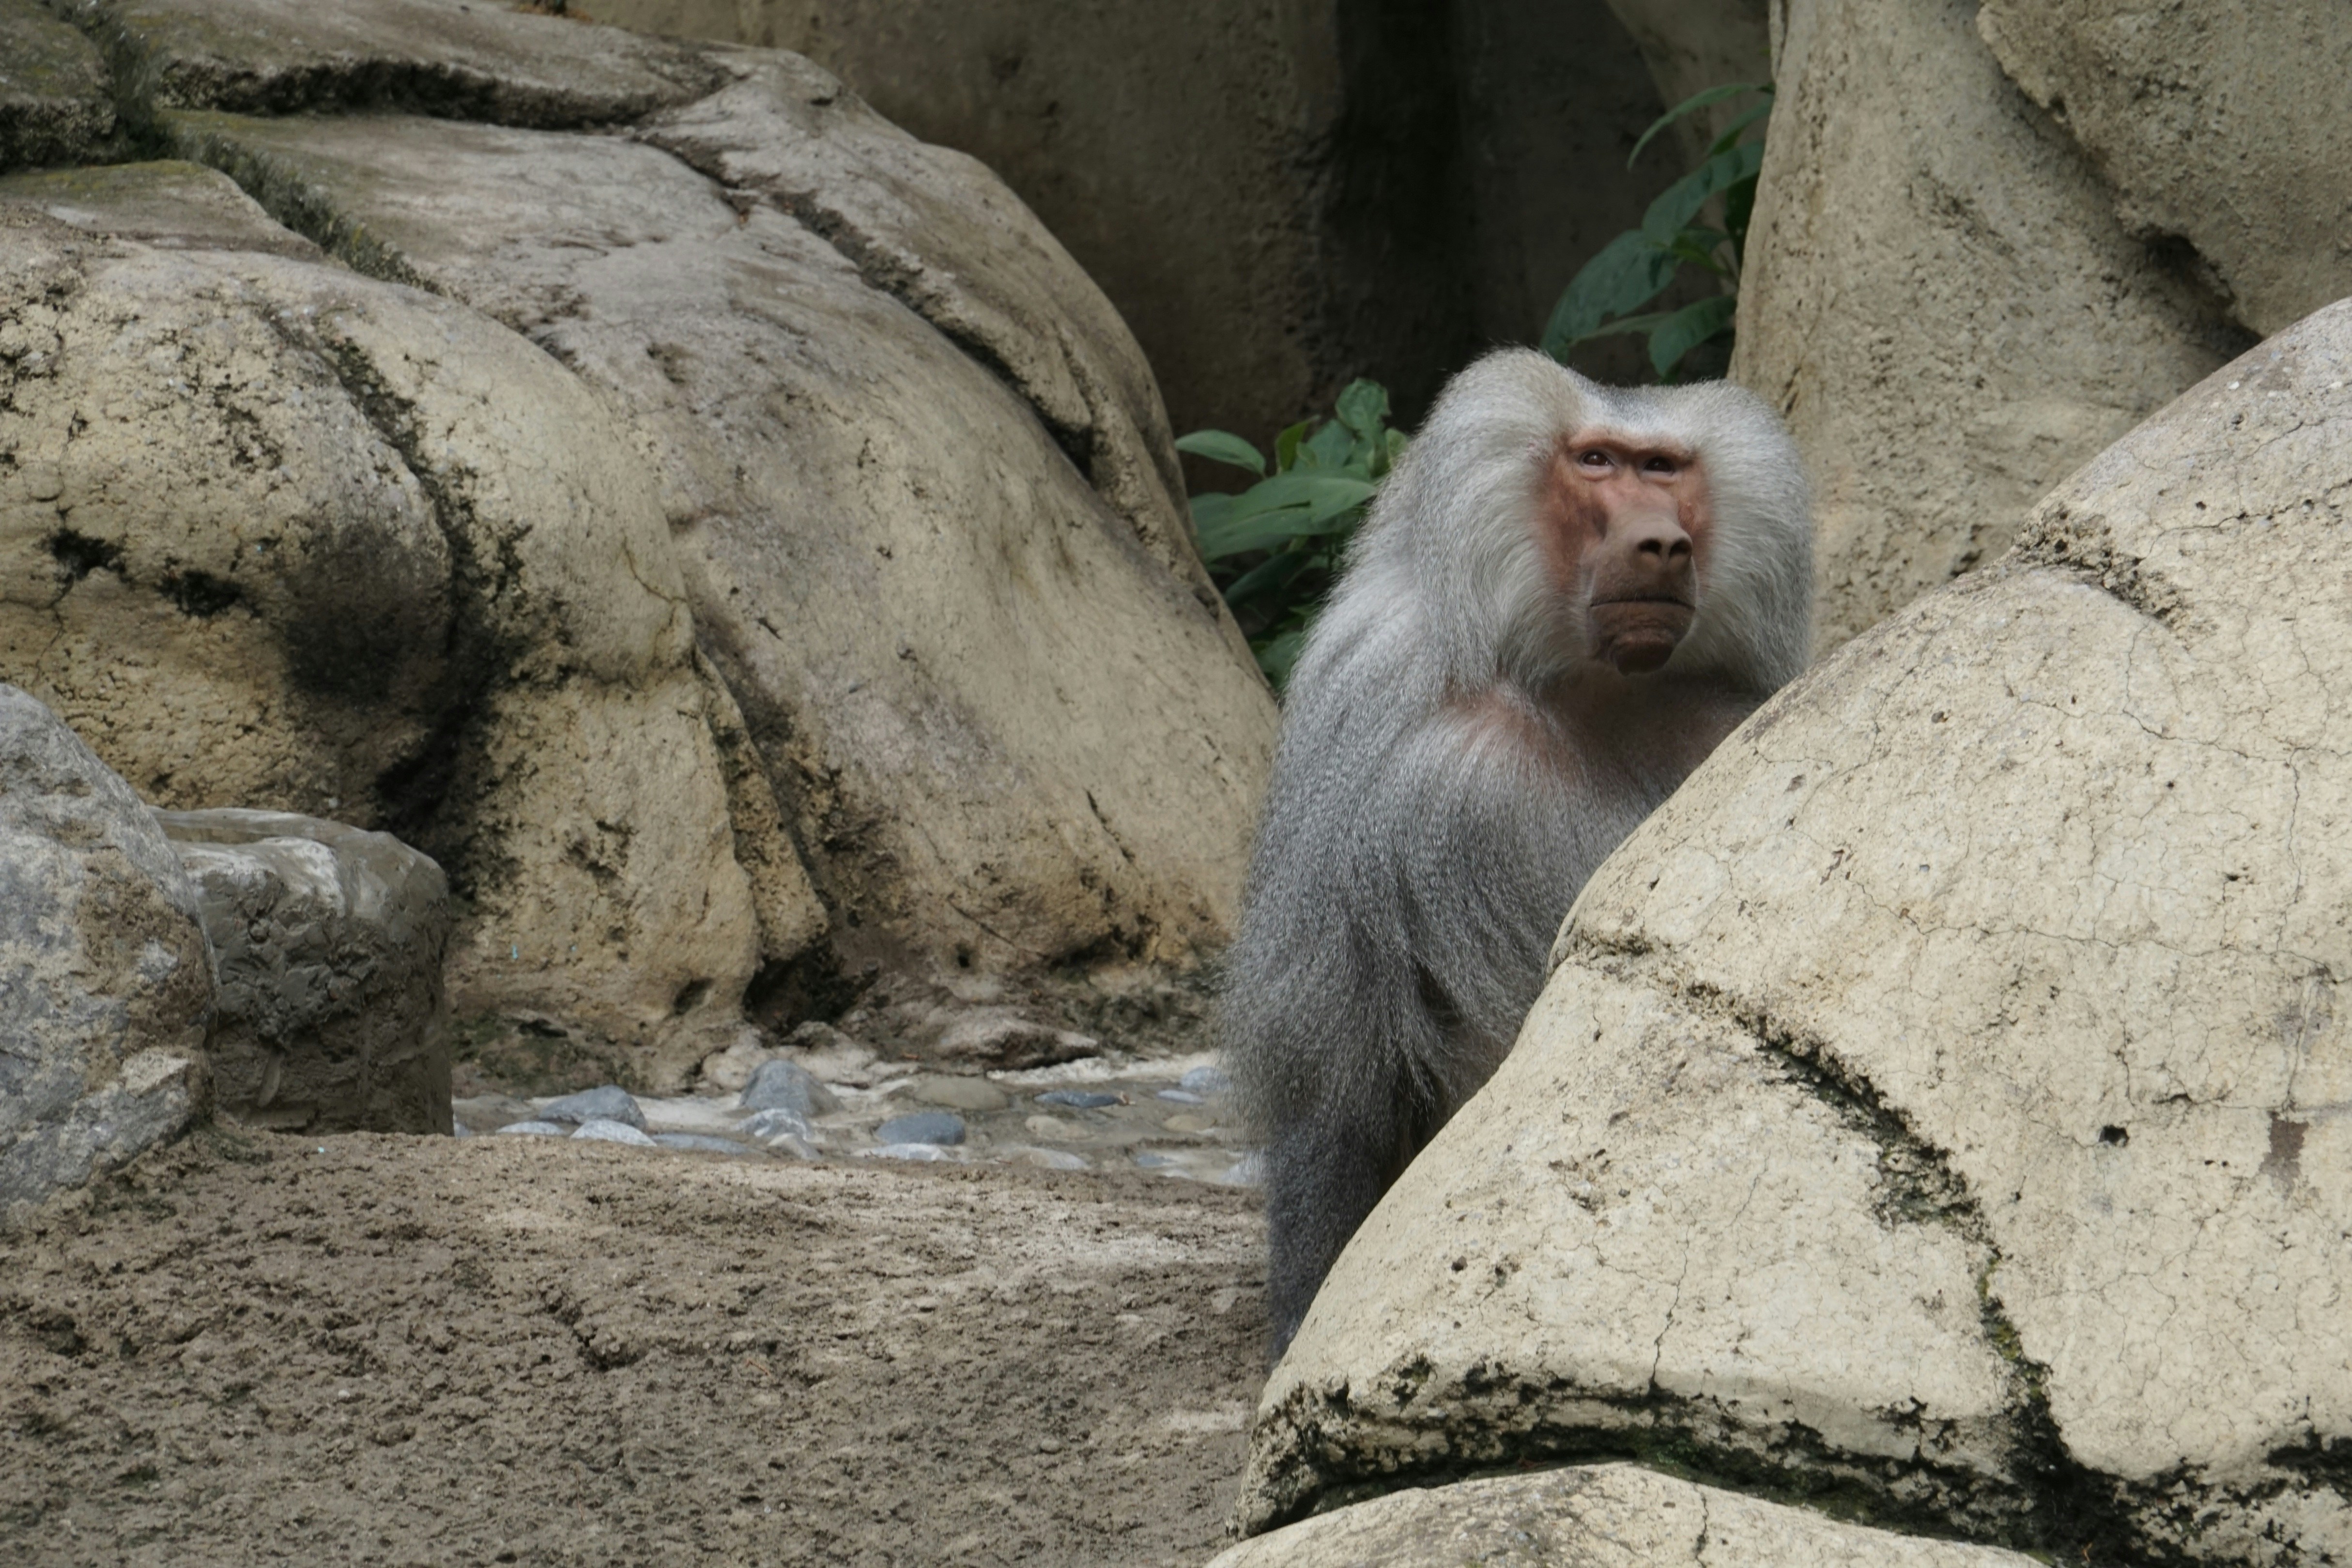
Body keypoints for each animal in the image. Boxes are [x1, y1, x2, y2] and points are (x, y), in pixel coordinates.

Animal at [1220, 348, 1813, 1359]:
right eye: (1596, 462)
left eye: (1663, 468)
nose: (1661, 544)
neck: (1583, 680)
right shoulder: (1412, 746)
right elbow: (1338, 1059)